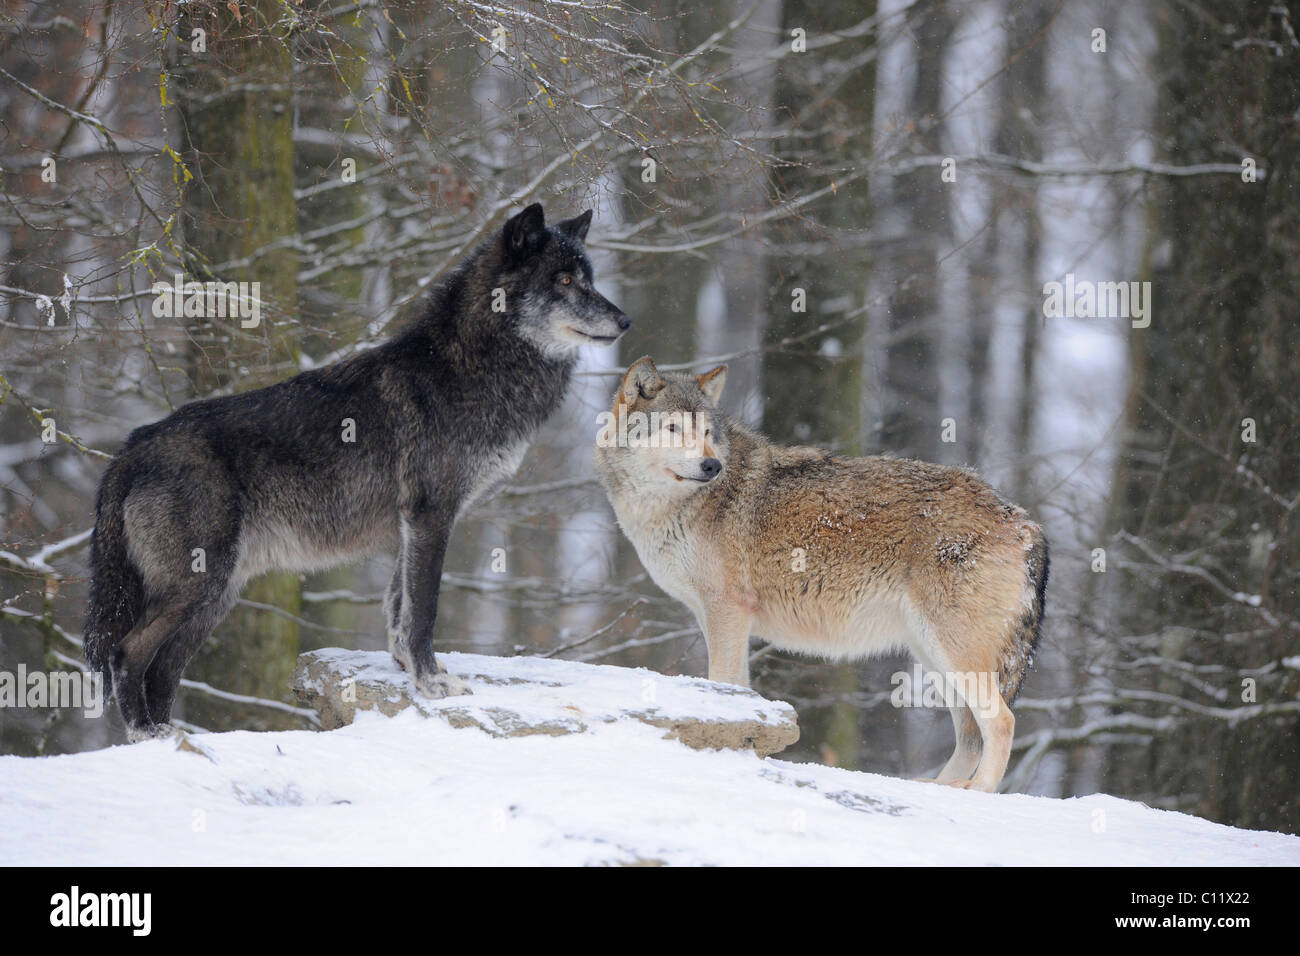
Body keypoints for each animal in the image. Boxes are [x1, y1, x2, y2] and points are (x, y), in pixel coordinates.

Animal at [85, 203, 629, 741]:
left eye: (589, 277)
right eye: (563, 280)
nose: (625, 320)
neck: (468, 365)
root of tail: (132, 447)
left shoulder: (414, 525)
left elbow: (399, 607)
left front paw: (409, 671)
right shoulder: (432, 515)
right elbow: (424, 609)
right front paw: (433, 684)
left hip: (215, 594)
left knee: (164, 667)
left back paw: (168, 738)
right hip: (195, 586)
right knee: (129, 653)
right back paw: (146, 734)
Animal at [594, 357, 1049, 792]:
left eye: (706, 431)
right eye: (672, 428)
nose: (711, 465)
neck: (676, 507)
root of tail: (1024, 520)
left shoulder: (727, 611)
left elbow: (722, 680)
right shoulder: (719, 618)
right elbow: (739, 687)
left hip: (952, 653)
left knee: (1001, 722)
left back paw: (980, 791)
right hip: (934, 656)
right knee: (971, 735)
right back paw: (942, 788)